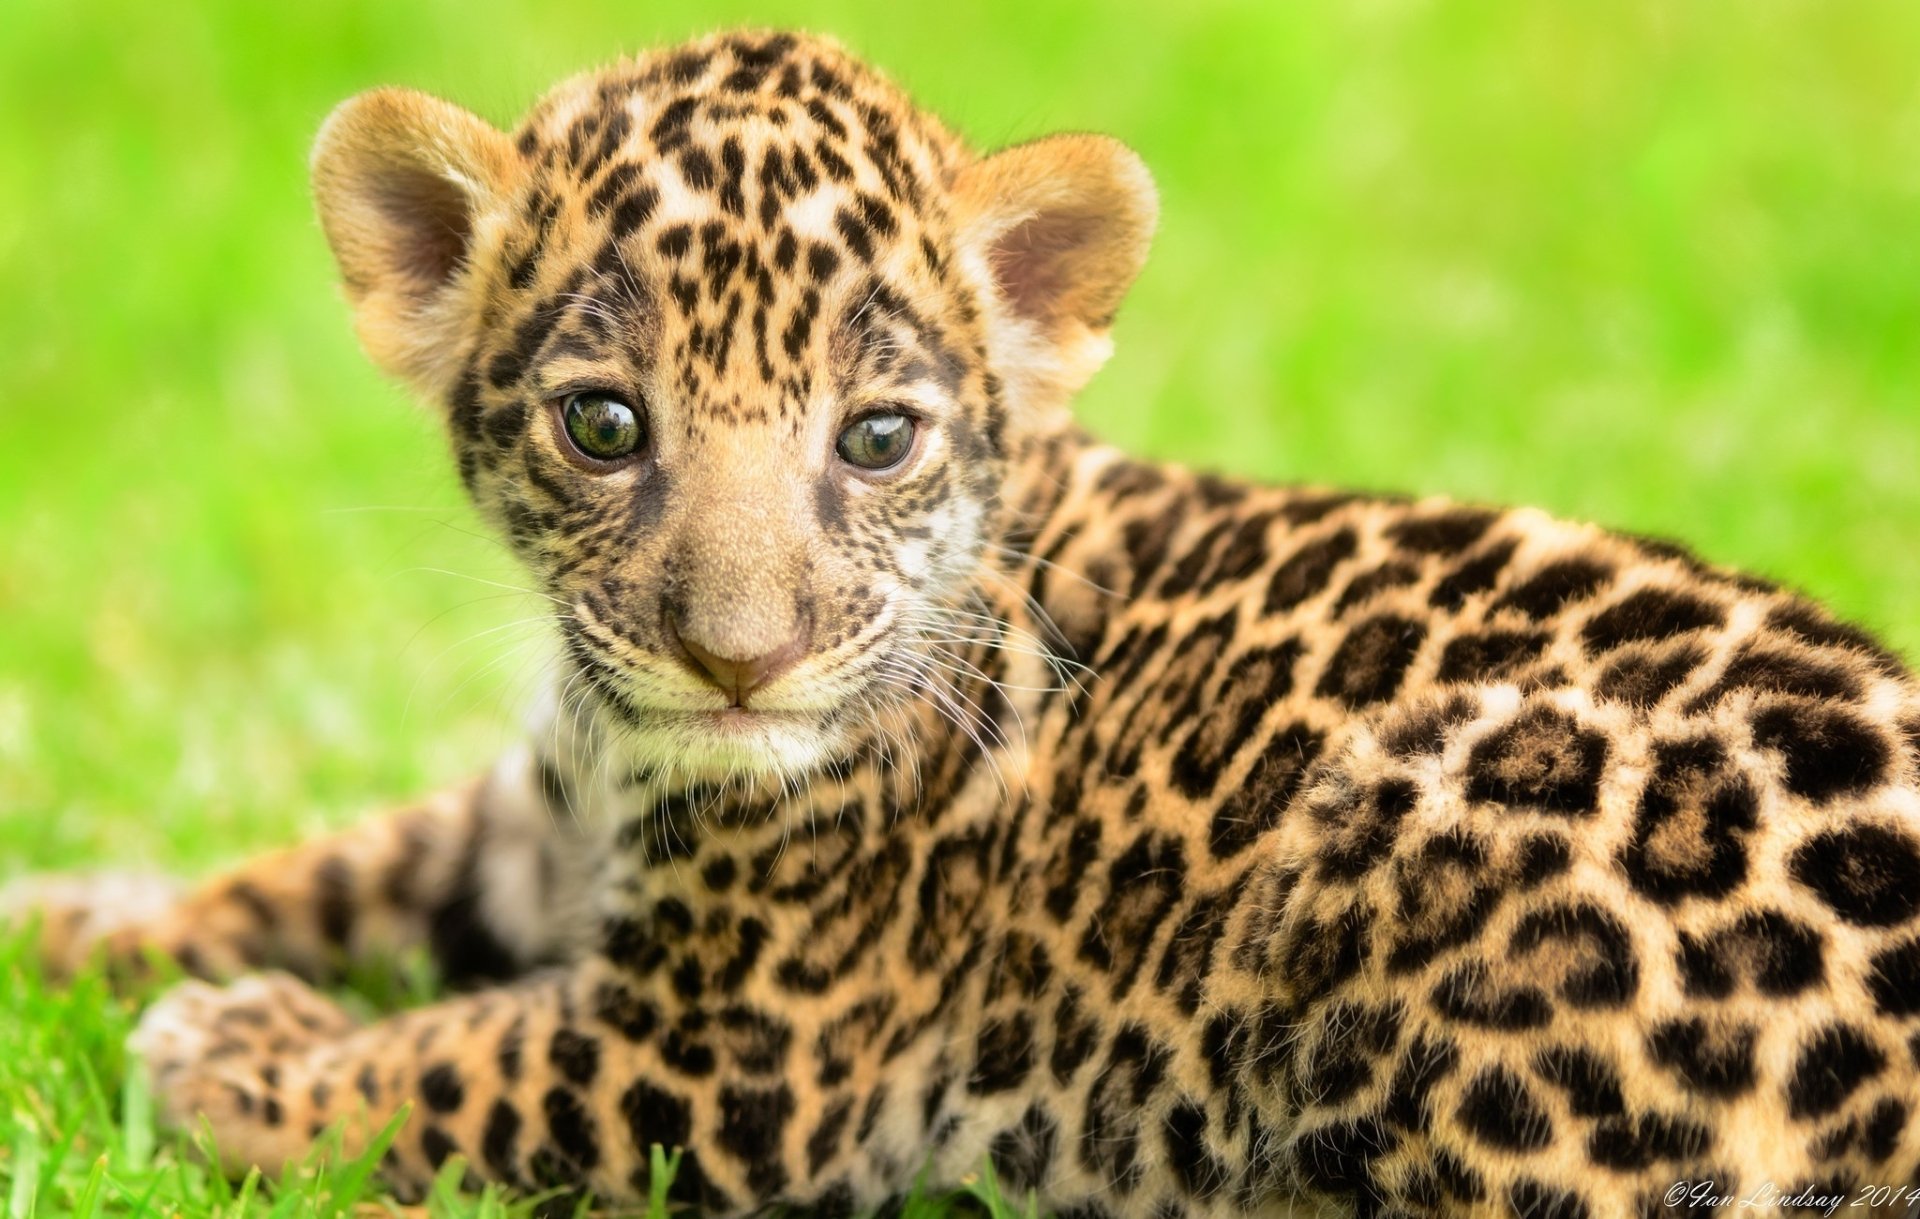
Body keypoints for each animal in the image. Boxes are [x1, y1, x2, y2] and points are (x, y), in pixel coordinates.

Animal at [10, 27, 1920, 1219]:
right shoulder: (517, 835)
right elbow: (316, 868)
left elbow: (445, 1064)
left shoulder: (720, 1061)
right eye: (604, 423)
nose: (738, 657)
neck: (618, 753)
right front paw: (80, 916)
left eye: (876, 437)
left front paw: (237, 1043)